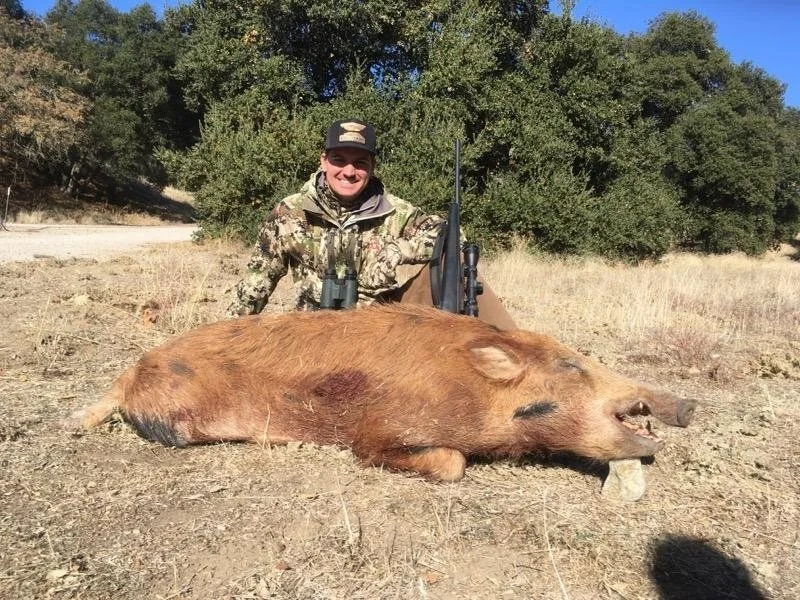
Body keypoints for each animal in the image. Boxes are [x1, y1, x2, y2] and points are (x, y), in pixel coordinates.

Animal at [61, 304, 696, 481]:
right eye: (571, 364)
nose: (688, 404)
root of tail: (129, 372)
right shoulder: (377, 430)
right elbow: (451, 464)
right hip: (174, 420)